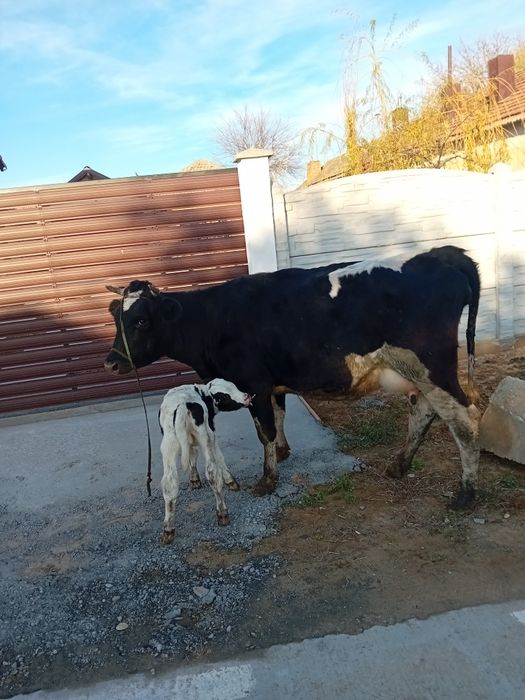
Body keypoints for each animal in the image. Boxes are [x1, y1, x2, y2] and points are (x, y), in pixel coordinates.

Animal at [104, 245, 481, 510]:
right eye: (117, 319)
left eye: (141, 321)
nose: (111, 362)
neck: (213, 319)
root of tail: (440, 254)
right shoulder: (273, 383)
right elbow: (279, 416)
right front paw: (283, 452)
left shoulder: (253, 383)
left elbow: (265, 430)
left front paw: (268, 478)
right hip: (418, 372)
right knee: (425, 412)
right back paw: (400, 465)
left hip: (433, 366)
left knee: (462, 421)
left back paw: (466, 494)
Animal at [158, 378, 252, 544]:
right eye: (224, 396)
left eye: (234, 386)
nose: (247, 397)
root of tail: (183, 404)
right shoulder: (212, 432)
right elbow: (219, 456)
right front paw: (231, 481)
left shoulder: (189, 441)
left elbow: (192, 455)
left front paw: (194, 480)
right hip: (205, 436)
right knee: (213, 473)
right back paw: (223, 514)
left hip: (168, 445)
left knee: (170, 483)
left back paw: (168, 529)